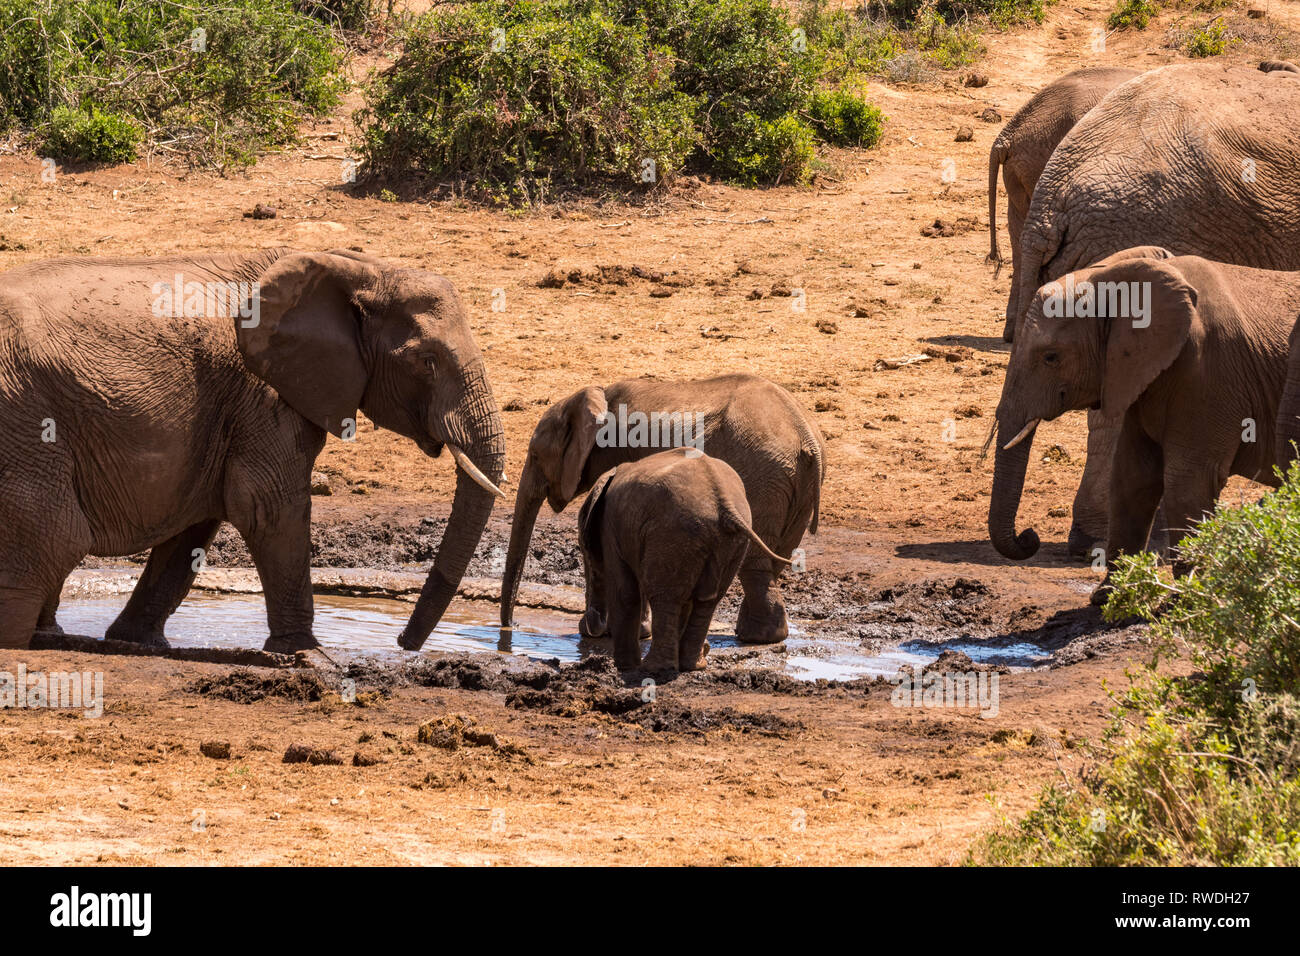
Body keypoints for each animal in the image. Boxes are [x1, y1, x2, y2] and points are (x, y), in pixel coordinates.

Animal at [0, 249, 505, 651]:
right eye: (427, 361)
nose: (402, 643)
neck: (359, 267)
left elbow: (195, 527)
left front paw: (137, 642)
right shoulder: (261, 395)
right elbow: (268, 507)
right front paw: (305, 653)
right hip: (23, 417)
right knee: (53, 541)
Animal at [499, 374, 825, 645]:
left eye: (535, 455)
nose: (509, 628)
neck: (595, 396)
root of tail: (807, 436)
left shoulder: (616, 453)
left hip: (762, 477)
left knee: (755, 561)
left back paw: (754, 636)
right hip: (790, 482)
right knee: (774, 557)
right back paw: (758, 634)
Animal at [577, 448, 789, 672]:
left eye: (582, 546)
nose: (591, 625)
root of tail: (724, 503)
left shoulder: (611, 528)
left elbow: (624, 591)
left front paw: (626, 667)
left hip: (675, 532)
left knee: (666, 596)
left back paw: (654, 667)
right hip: (726, 541)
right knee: (706, 600)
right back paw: (692, 664)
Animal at [989, 251, 1297, 604]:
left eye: (1051, 357)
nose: (1029, 537)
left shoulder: (1210, 371)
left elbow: (1187, 480)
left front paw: (1186, 602)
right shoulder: (1137, 373)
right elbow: (1132, 476)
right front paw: (1108, 597)